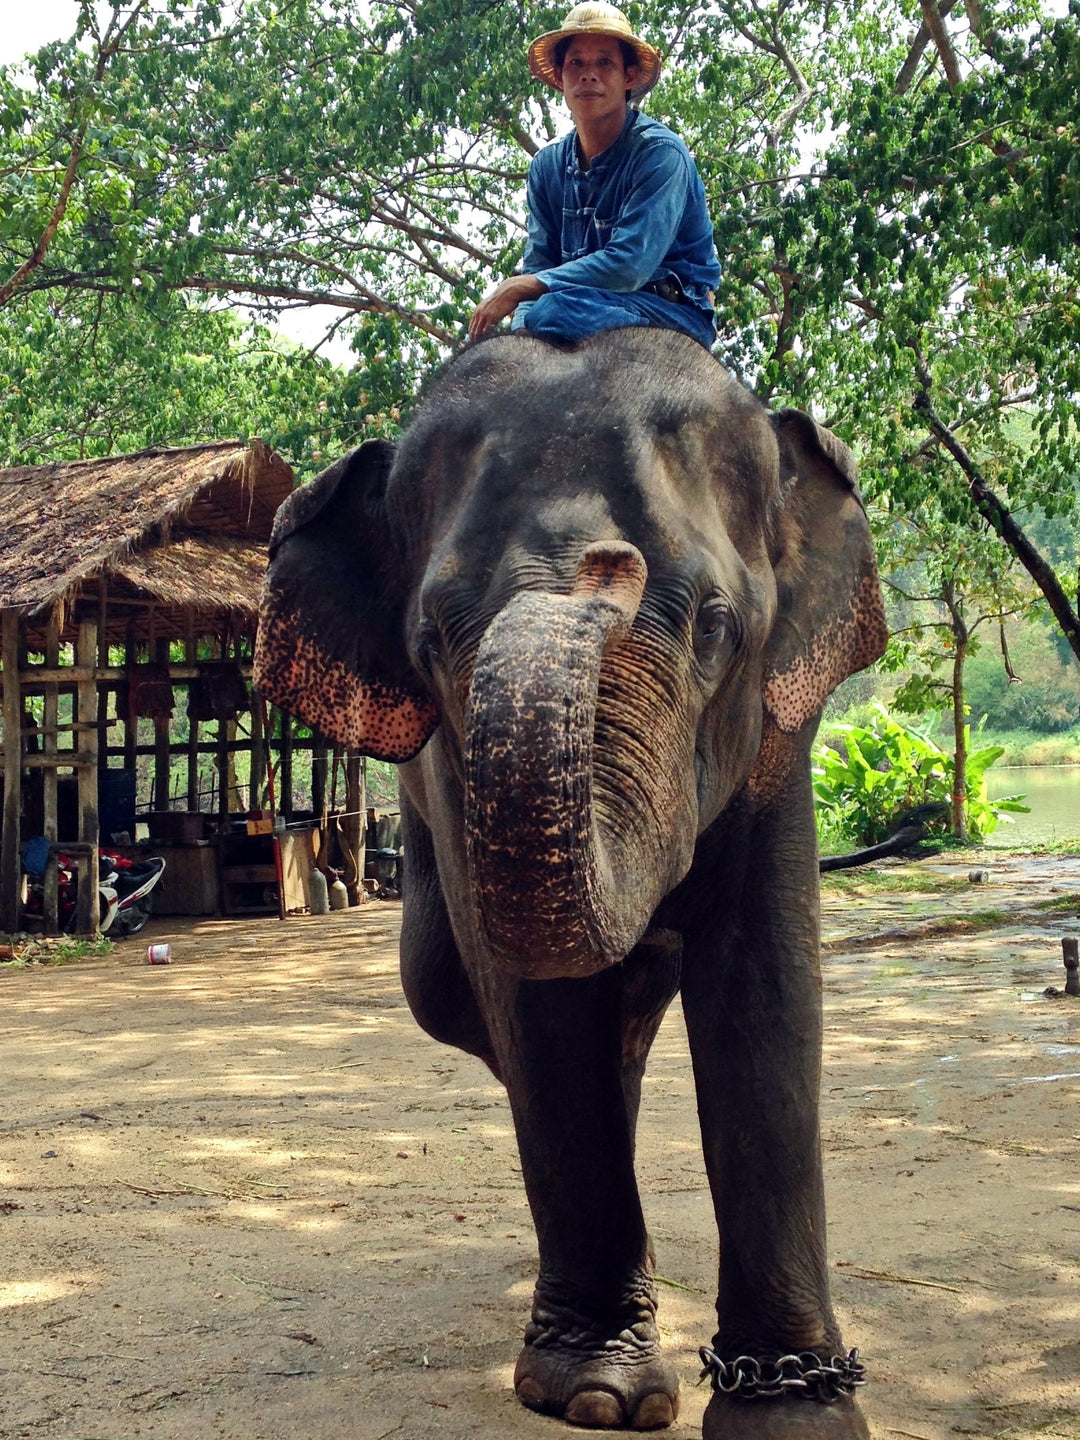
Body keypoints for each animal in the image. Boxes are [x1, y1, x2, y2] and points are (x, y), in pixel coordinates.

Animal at [254, 327, 888, 1438]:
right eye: (431, 638)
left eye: (715, 626)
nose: (600, 564)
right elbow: (537, 1011)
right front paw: (595, 1395)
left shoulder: (781, 735)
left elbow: (763, 982)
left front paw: (795, 1416)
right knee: (456, 994)